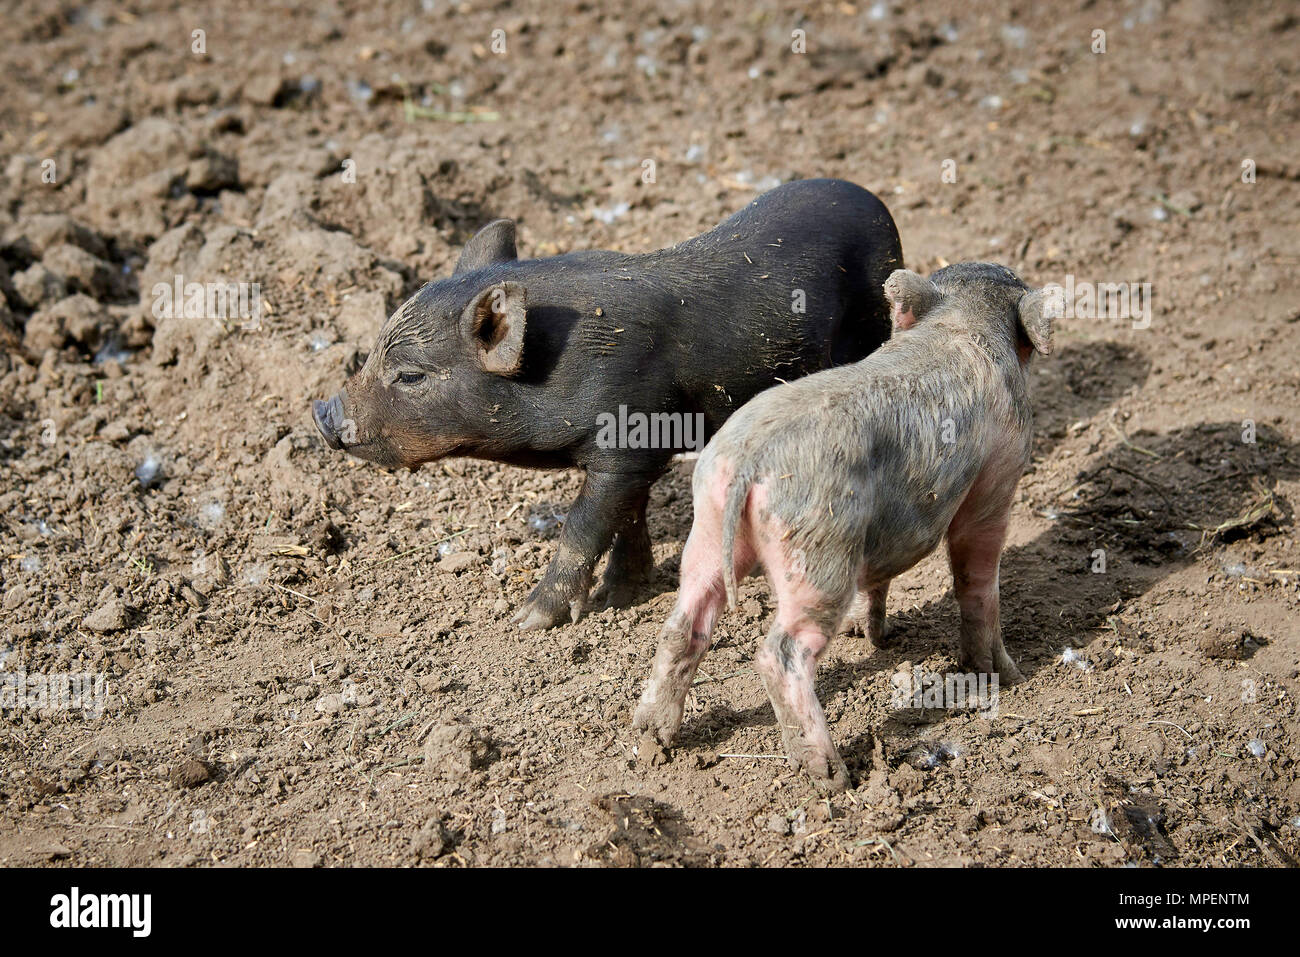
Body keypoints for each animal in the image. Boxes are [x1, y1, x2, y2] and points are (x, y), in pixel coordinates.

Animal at [313, 178, 903, 630]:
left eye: (410, 375)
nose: (323, 413)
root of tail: (873, 200)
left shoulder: (625, 440)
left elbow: (583, 526)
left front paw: (527, 622)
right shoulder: (639, 456)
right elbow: (628, 515)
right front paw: (623, 593)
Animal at [633, 263, 1056, 791]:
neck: (960, 322)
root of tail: (751, 459)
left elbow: (879, 580)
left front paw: (875, 637)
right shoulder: (996, 481)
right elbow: (978, 581)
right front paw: (1009, 676)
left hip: (707, 527)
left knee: (681, 624)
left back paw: (652, 738)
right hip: (817, 553)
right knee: (779, 653)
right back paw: (833, 777)